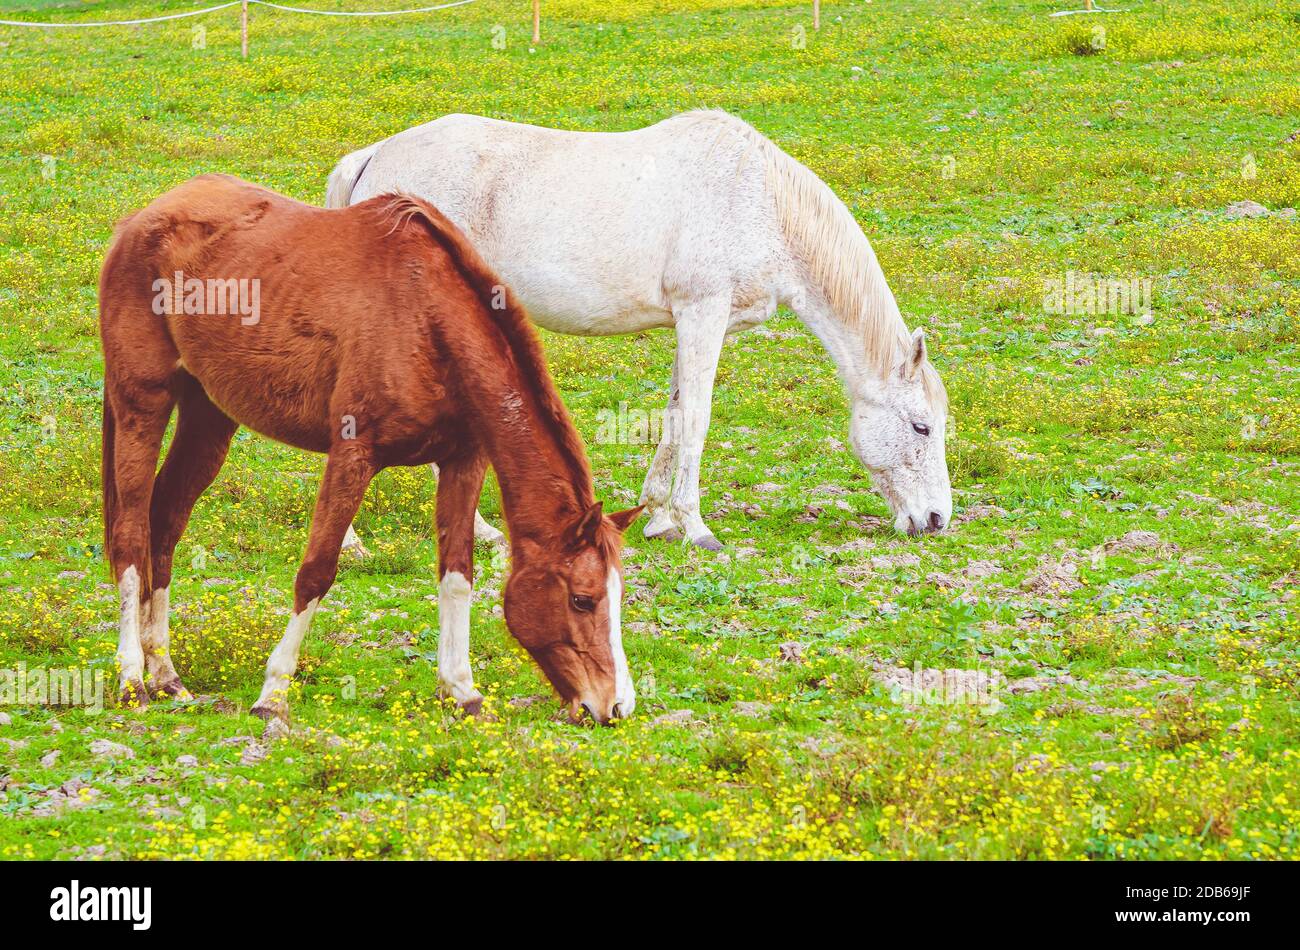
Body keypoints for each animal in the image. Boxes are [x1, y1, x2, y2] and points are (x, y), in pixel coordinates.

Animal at [99, 174, 642, 730]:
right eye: (583, 599)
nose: (614, 706)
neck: (426, 322)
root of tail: (142, 220)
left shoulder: (464, 461)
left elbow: (458, 577)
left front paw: (462, 691)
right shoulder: (352, 456)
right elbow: (315, 573)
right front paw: (273, 694)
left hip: (208, 417)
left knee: (164, 526)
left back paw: (166, 674)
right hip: (141, 402)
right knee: (130, 537)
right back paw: (133, 679)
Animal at [327, 109, 953, 553]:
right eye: (921, 427)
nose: (937, 519)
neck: (760, 202)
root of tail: (374, 157)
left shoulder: (692, 322)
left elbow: (675, 415)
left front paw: (657, 518)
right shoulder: (704, 314)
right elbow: (697, 418)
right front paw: (697, 527)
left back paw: (478, 533)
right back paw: (356, 543)